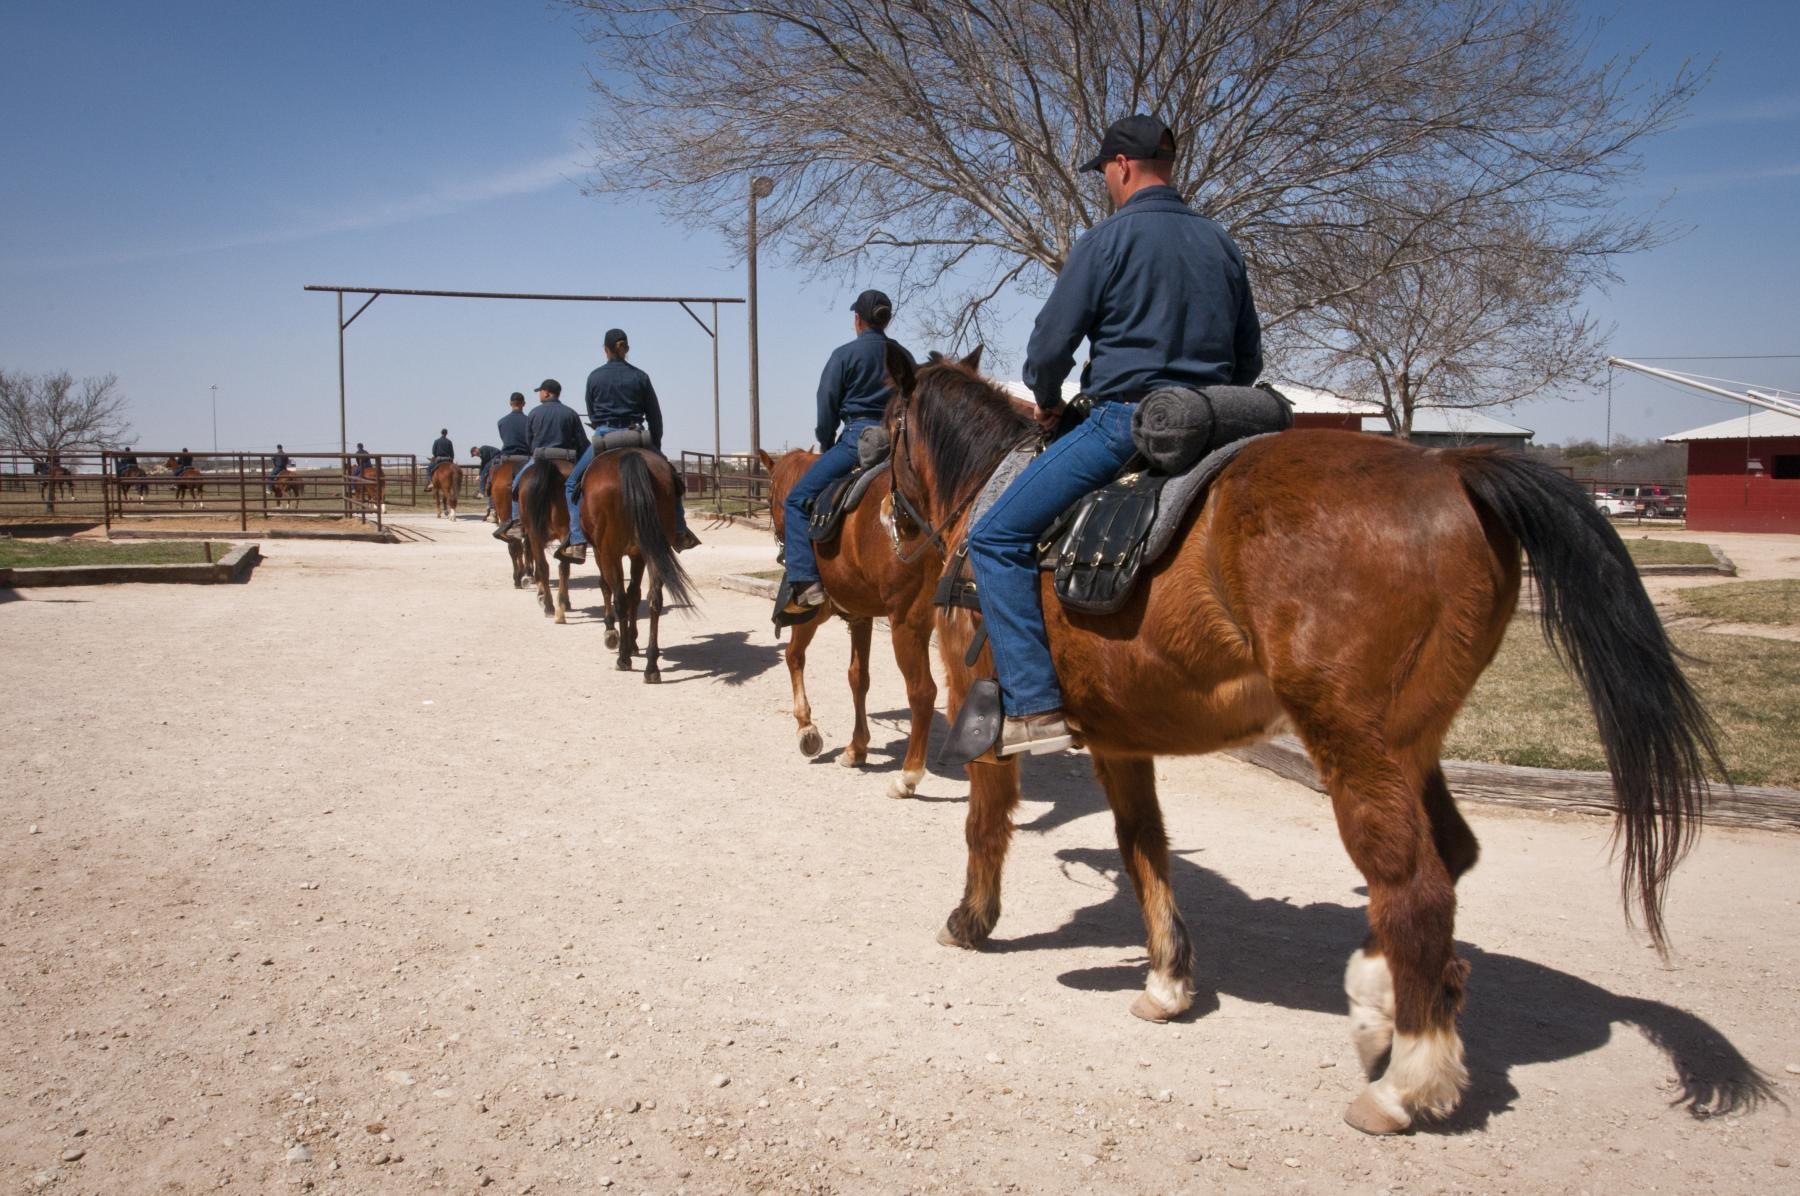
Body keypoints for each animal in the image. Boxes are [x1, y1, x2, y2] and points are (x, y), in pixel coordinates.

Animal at [573, 448, 694, 682]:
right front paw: (633, 641)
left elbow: (609, 588)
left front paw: (613, 634)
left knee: (619, 597)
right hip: (655, 551)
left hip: (609, 552)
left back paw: (623, 658)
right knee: (654, 599)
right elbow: (635, 594)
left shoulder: (603, 553)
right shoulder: (638, 555)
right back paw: (651, 666)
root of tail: (630, 456)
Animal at [758, 444, 943, 797]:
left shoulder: (813, 613)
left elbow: (793, 656)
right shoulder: (860, 617)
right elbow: (858, 677)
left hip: (907, 624)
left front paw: (807, 729)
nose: (779, 549)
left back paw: (909, 774)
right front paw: (857, 748)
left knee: (923, 691)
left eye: (770, 494)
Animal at [880, 346, 1721, 1135]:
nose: (893, 523)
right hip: (1408, 745)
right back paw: (1381, 1000)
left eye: (885, 426)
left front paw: (970, 921)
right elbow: (1144, 844)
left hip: (1353, 742)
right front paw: (1167, 980)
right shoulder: (1121, 737)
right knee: (1448, 855)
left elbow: (986, 824)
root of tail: (1452, 467)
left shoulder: (982, 710)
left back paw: (1405, 1081)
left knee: (1413, 882)